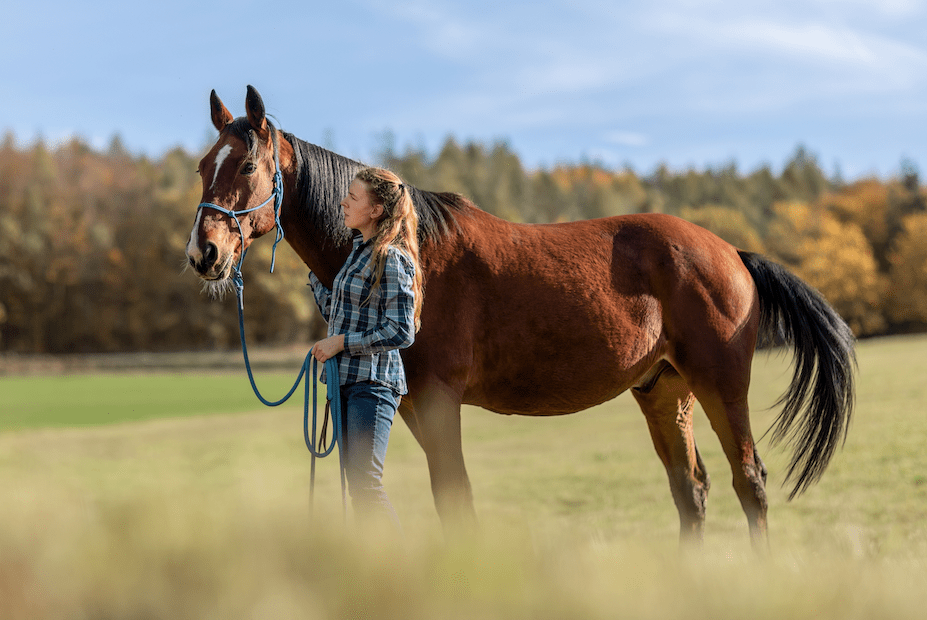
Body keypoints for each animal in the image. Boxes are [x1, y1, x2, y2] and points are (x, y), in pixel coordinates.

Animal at [185, 85, 855, 549]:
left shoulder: (439, 399)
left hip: (721, 385)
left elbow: (454, 497)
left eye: (247, 166)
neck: (414, 251)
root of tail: (731, 252)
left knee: (750, 482)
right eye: (202, 167)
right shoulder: (412, 406)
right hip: (664, 392)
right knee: (691, 490)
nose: (204, 253)